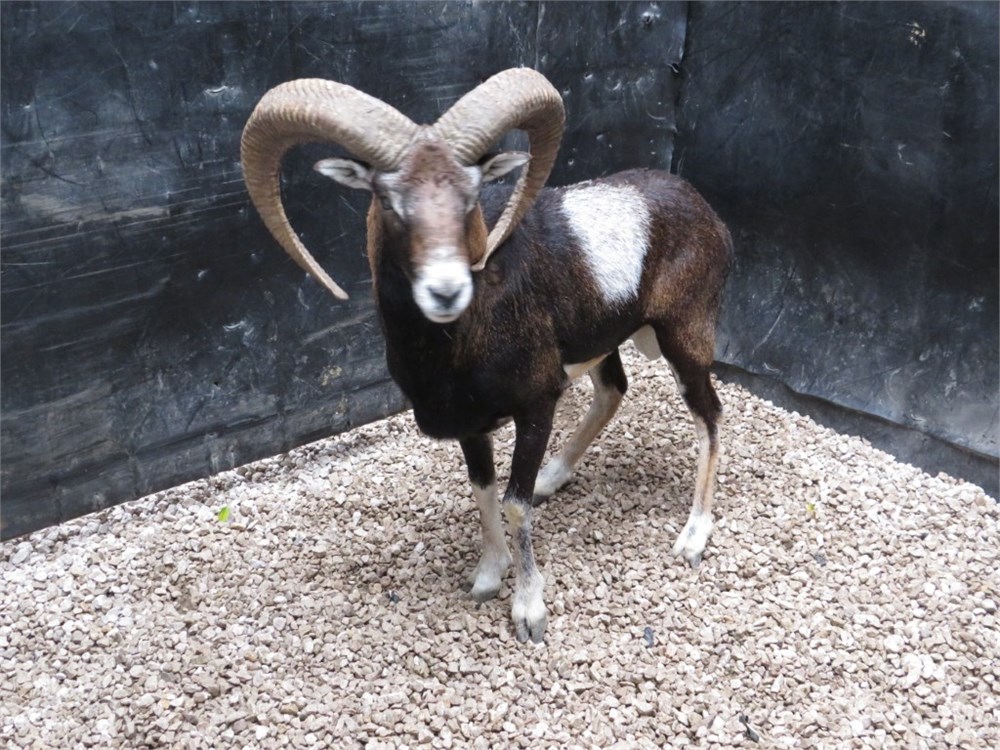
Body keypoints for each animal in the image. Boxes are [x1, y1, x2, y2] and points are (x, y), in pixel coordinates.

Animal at [241, 69, 733, 643]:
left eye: (471, 196)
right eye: (387, 198)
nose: (446, 291)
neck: (453, 351)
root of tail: (705, 212)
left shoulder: (537, 408)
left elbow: (515, 506)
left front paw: (528, 612)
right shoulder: (470, 427)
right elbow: (485, 493)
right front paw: (487, 579)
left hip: (684, 341)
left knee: (709, 415)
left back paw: (693, 538)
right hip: (604, 345)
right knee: (613, 392)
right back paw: (553, 479)